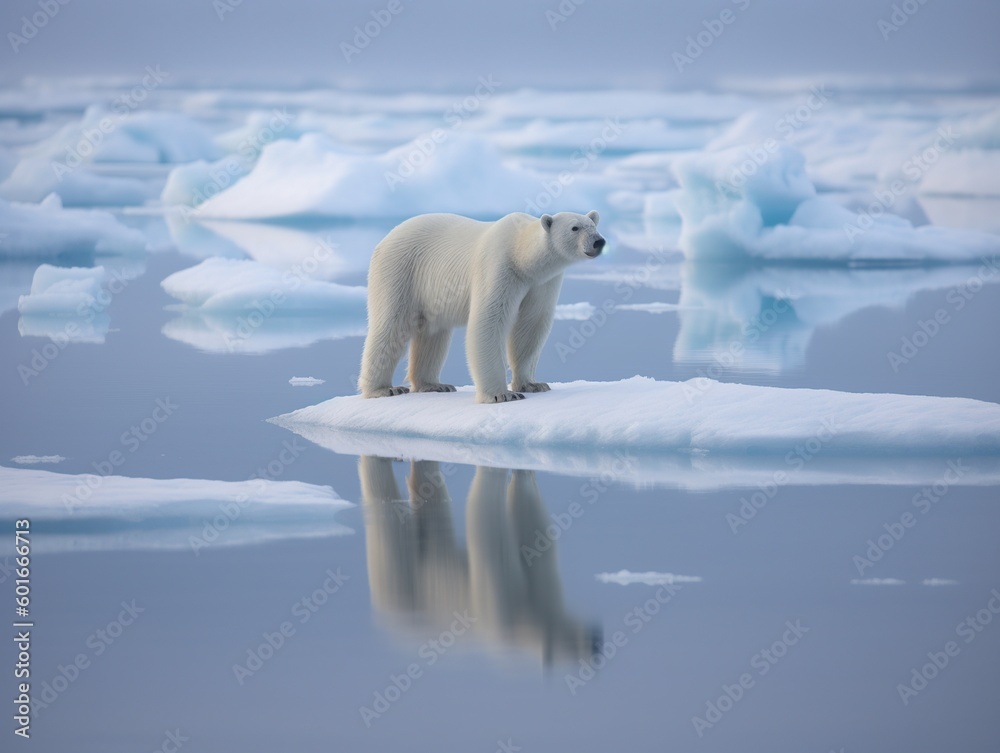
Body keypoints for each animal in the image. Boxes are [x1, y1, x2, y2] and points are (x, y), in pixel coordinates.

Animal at [358, 210, 605, 403]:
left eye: (594, 225)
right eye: (575, 227)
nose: (599, 241)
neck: (521, 253)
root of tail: (386, 238)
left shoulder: (541, 283)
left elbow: (530, 326)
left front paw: (533, 384)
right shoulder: (500, 268)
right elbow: (489, 321)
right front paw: (501, 395)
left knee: (433, 333)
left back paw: (434, 384)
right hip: (400, 270)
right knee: (392, 325)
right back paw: (383, 389)